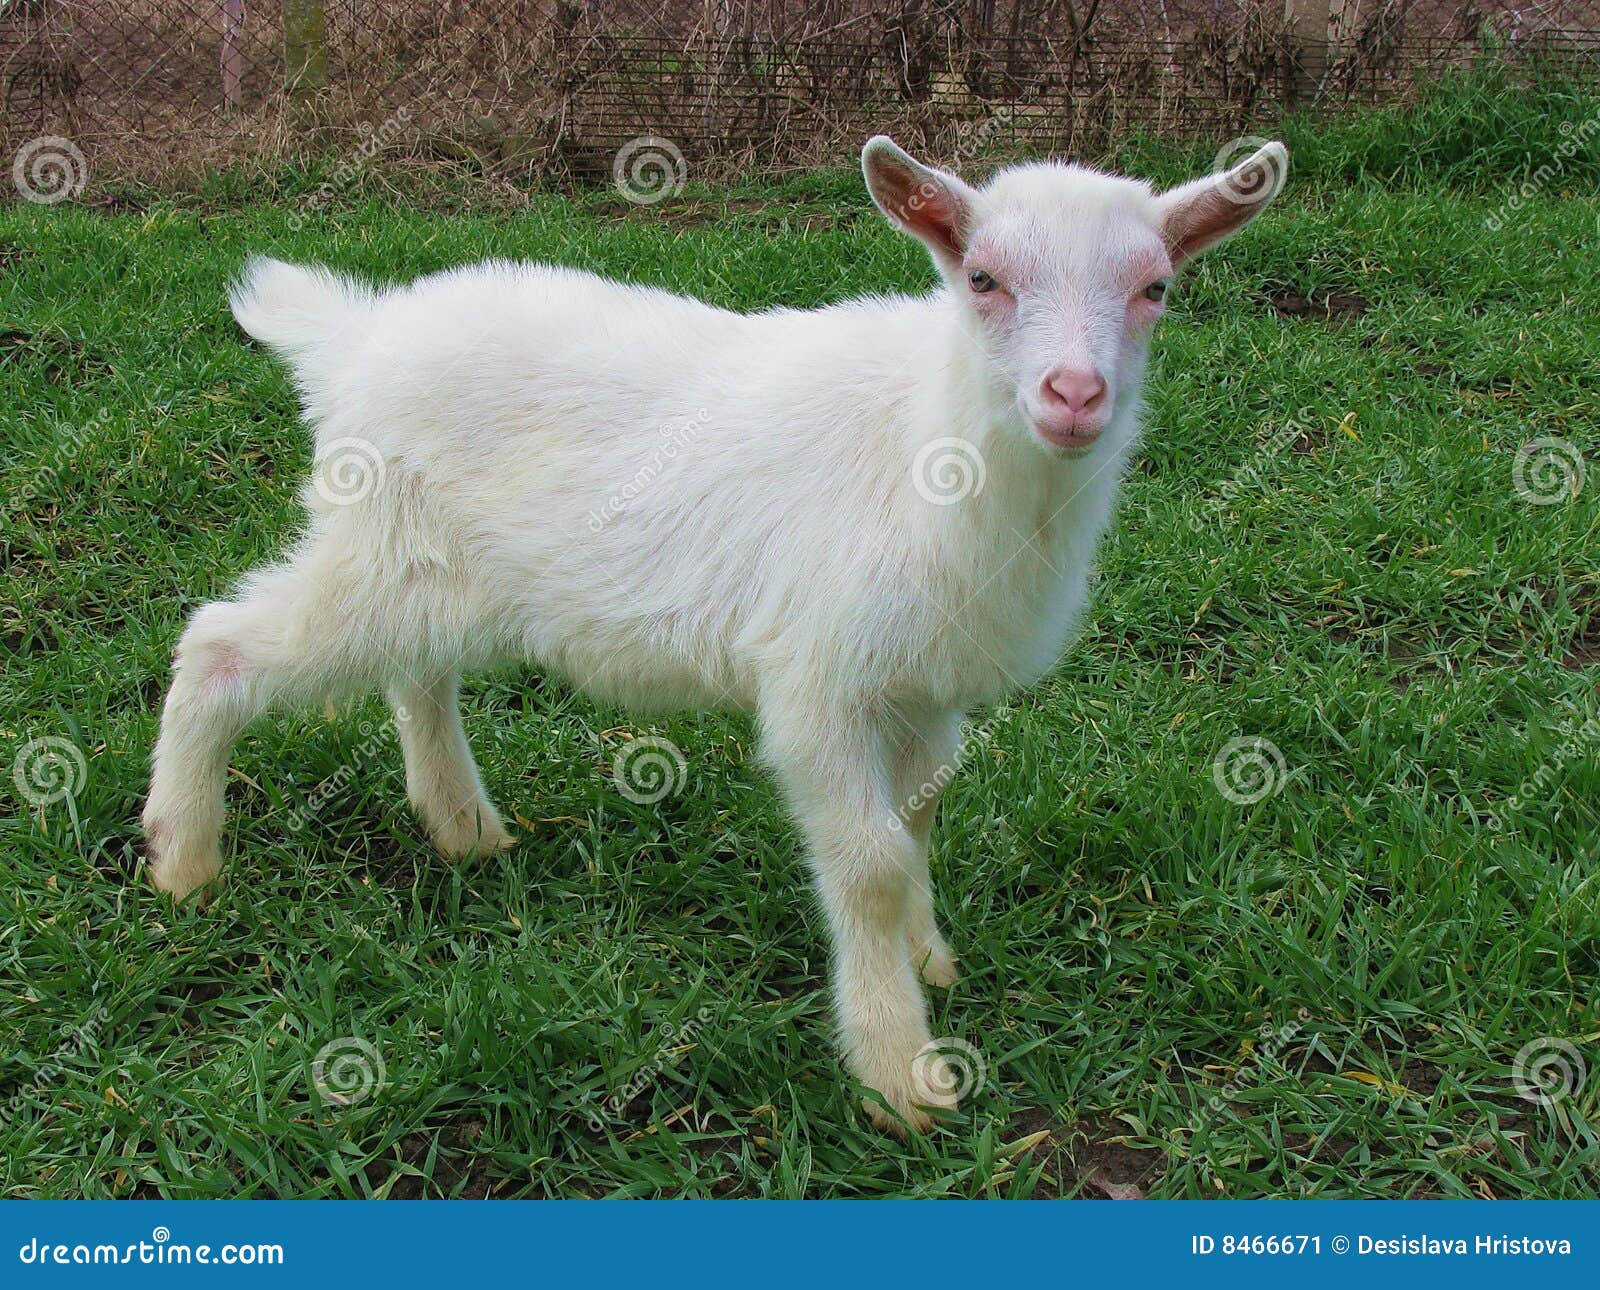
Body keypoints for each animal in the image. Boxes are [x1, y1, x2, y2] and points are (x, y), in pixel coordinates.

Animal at [144, 136, 1287, 1133]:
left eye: (1156, 289)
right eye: (984, 278)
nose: (1074, 394)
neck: (929, 441)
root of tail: (355, 339)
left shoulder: (923, 685)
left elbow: (916, 822)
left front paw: (929, 959)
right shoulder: (819, 680)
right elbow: (869, 861)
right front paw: (900, 1072)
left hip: (433, 571)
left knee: (419, 677)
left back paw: (461, 825)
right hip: (375, 546)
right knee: (219, 642)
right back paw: (183, 858)